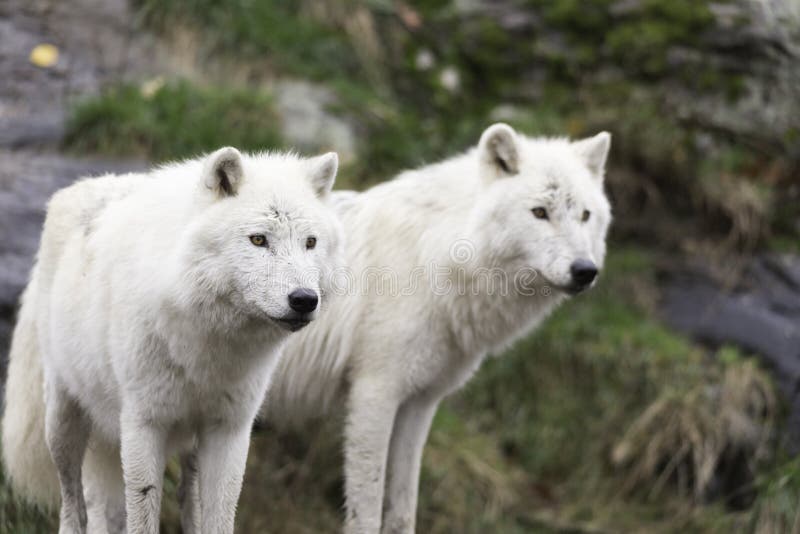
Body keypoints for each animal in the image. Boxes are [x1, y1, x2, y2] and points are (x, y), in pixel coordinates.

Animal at [1, 147, 342, 533]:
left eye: (310, 242)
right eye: (259, 239)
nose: (304, 299)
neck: (209, 343)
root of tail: (75, 188)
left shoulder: (230, 429)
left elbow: (220, 516)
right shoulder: (143, 424)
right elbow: (143, 510)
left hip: (181, 442)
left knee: (181, 498)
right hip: (62, 422)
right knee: (73, 504)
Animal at [263, 123, 612, 533]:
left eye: (586, 215)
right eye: (540, 212)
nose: (585, 270)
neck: (439, 259)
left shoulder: (420, 403)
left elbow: (402, 510)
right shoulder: (374, 394)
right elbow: (367, 509)